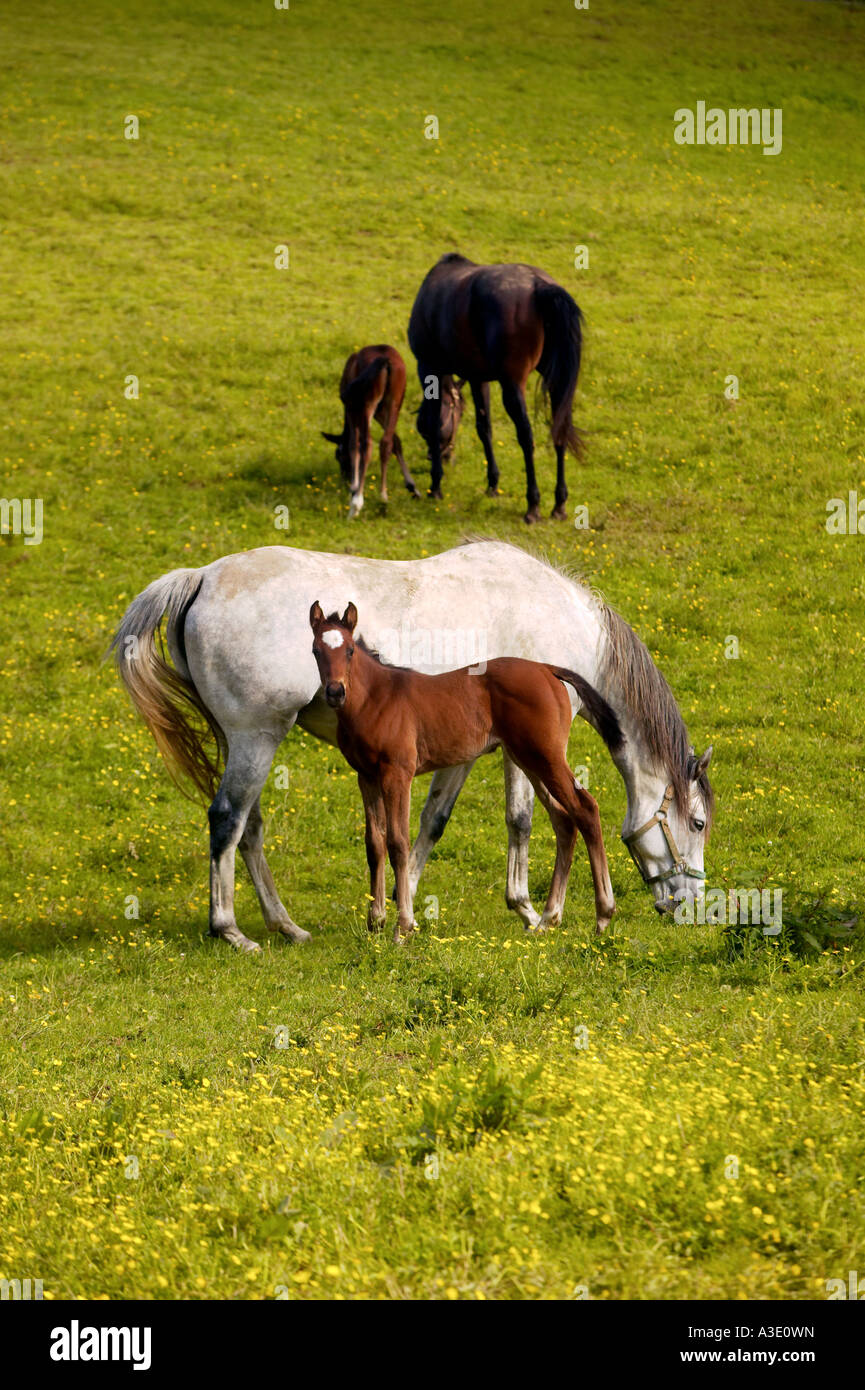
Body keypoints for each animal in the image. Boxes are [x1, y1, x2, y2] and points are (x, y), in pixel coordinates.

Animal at [310, 600, 619, 941]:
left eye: (350, 650)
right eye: (316, 650)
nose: (335, 692)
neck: (376, 700)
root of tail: (546, 669)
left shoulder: (397, 774)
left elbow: (398, 843)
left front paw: (402, 927)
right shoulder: (366, 776)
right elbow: (374, 843)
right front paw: (375, 921)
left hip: (546, 757)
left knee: (586, 809)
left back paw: (603, 915)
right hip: (529, 759)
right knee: (564, 820)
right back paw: (548, 918)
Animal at [321, 345, 418, 518]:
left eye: (339, 457)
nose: (344, 481)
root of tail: (385, 360)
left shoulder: (352, 409)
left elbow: (354, 444)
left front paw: (354, 486)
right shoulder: (381, 411)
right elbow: (396, 440)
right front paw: (411, 486)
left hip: (368, 405)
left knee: (368, 444)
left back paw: (356, 503)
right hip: (394, 402)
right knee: (385, 442)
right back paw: (383, 496)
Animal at [408, 254, 584, 523]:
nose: (442, 456)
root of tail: (539, 284)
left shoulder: (429, 369)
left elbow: (435, 422)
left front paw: (435, 485)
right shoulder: (478, 379)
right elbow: (484, 428)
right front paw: (492, 483)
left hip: (512, 384)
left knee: (526, 436)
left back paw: (533, 505)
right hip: (557, 380)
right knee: (560, 429)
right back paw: (559, 504)